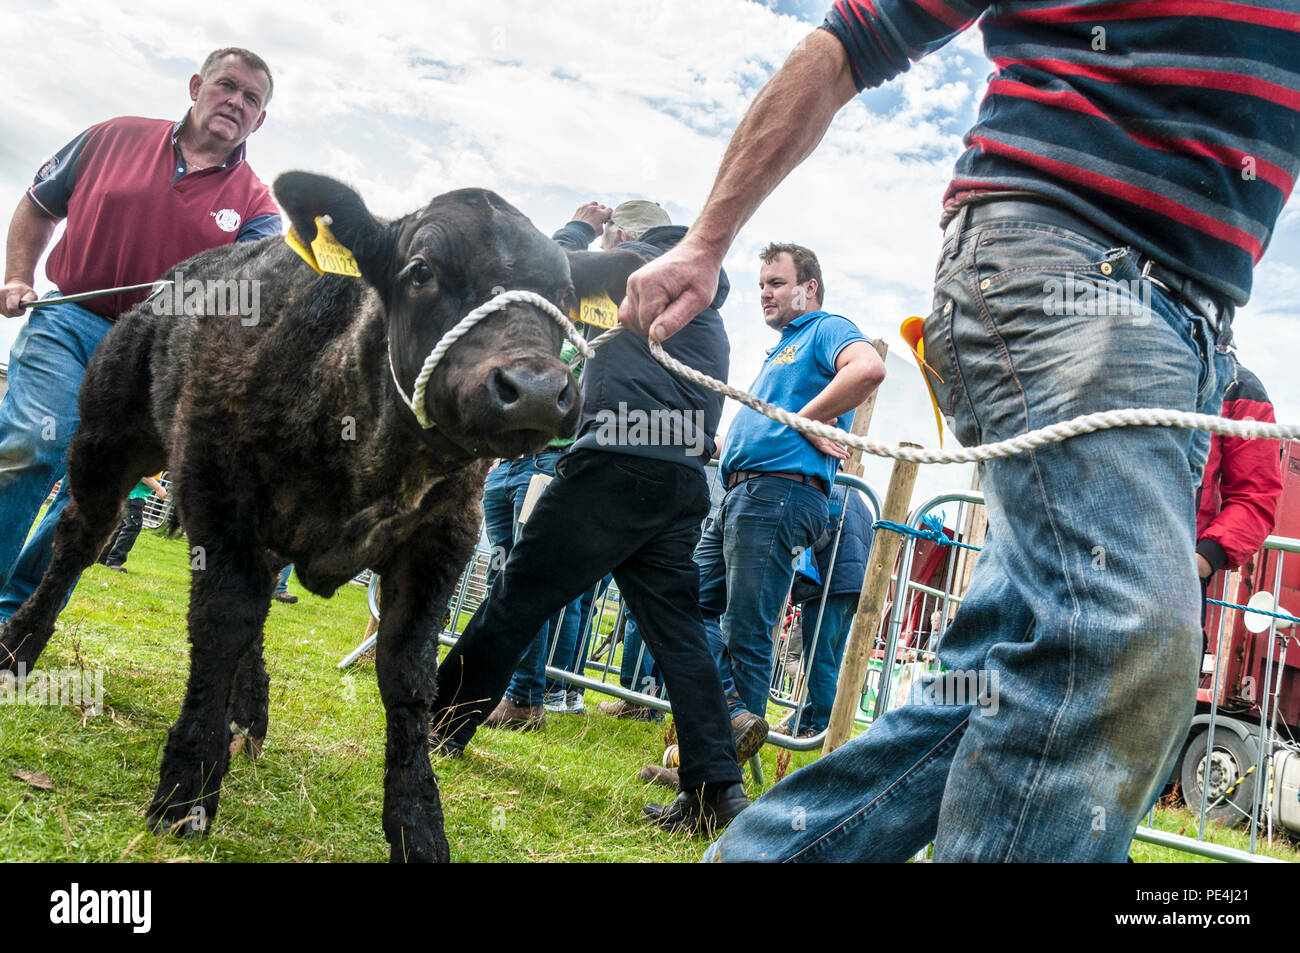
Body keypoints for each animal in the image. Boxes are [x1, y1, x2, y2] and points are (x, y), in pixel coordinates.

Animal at [0, 171, 642, 862]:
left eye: (565, 297)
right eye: (421, 270)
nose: (536, 390)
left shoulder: (443, 538)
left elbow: (407, 672)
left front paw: (418, 825)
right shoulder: (218, 497)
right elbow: (221, 624)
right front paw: (186, 789)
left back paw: (247, 711)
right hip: (107, 436)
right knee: (79, 538)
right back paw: (18, 648)